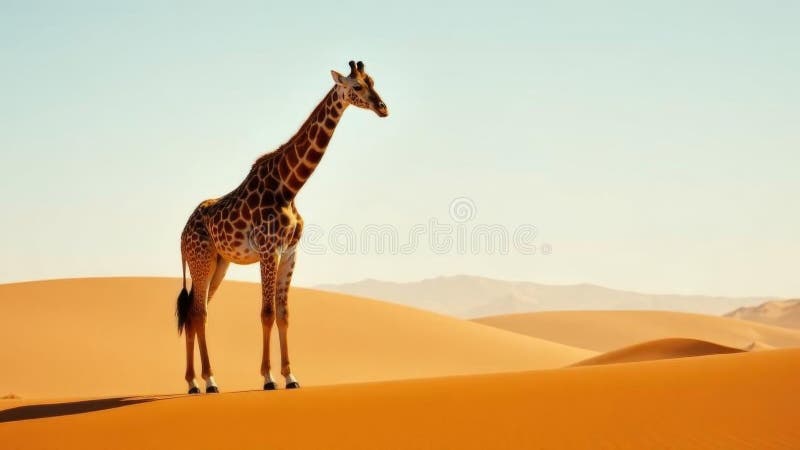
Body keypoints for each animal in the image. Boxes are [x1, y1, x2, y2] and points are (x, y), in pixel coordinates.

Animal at [176, 60, 388, 394]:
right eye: (356, 86)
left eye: (374, 81)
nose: (383, 108)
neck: (290, 187)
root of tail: (181, 234)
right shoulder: (268, 249)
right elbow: (266, 313)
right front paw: (268, 378)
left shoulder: (290, 251)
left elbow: (284, 314)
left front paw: (291, 376)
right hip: (201, 260)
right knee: (199, 312)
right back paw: (206, 381)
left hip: (218, 264)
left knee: (194, 313)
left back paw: (195, 381)